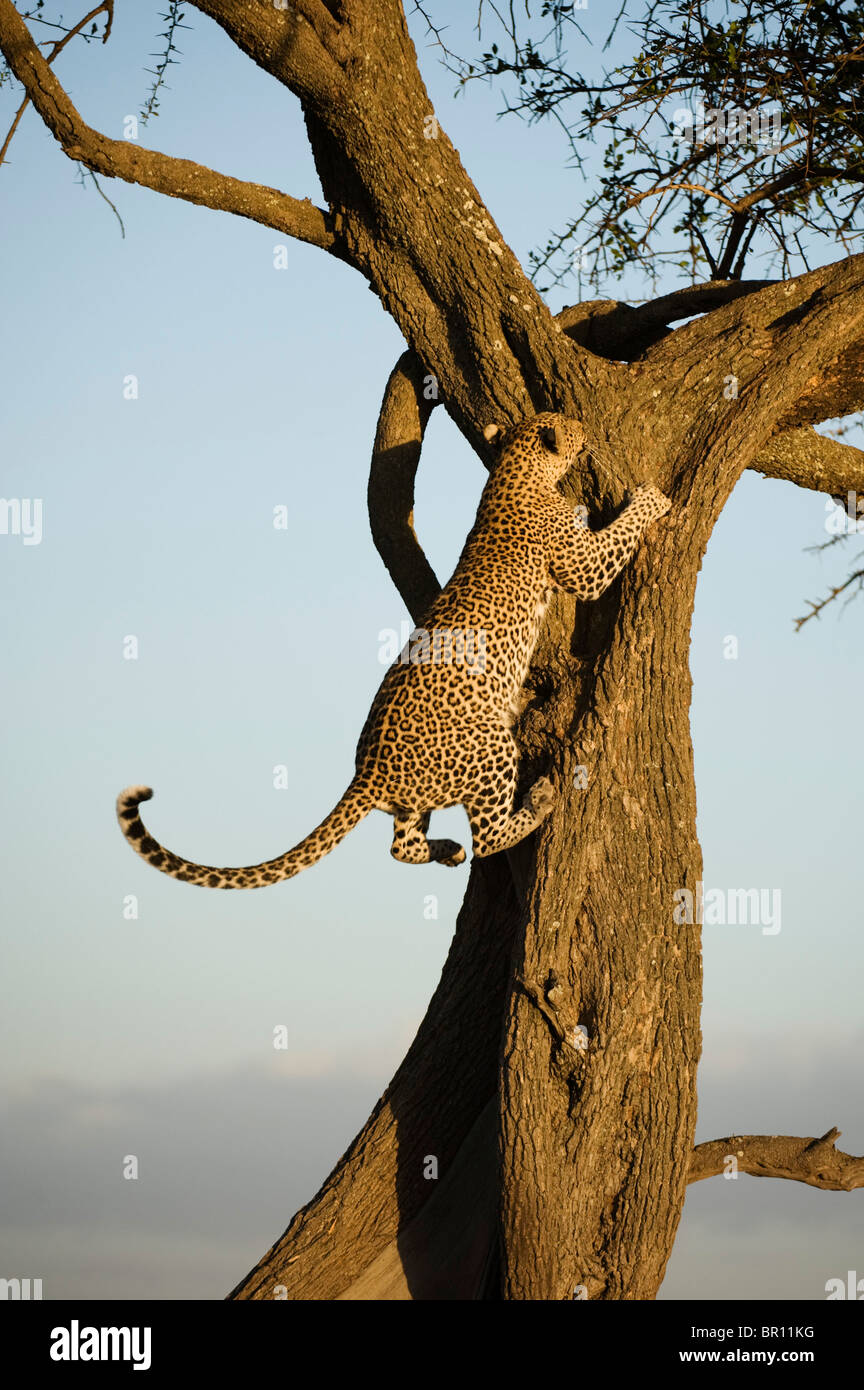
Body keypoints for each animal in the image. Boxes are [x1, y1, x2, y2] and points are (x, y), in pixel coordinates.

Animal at [117, 411, 671, 887]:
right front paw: (652, 498)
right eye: (568, 422)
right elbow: (614, 539)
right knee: (487, 837)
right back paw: (538, 801)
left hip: (419, 797)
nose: (586, 427)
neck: (514, 468)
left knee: (401, 846)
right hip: (490, 745)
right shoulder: (581, 566)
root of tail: (366, 776)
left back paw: (446, 848)